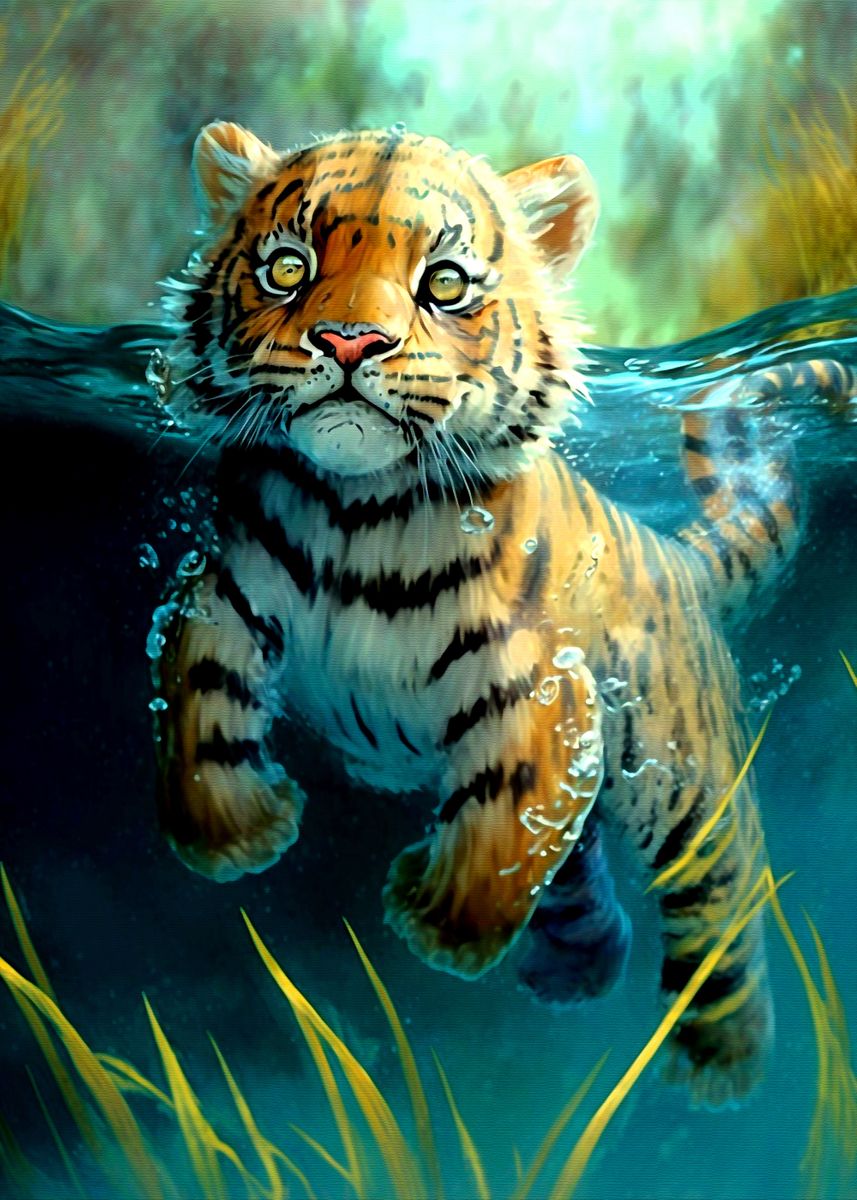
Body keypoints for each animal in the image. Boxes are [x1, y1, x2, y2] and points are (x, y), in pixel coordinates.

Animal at [151, 120, 857, 1110]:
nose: (348, 340)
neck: (355, 518)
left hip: (691, 782)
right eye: (286, 268)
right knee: (575, 859)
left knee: (722, 904)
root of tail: (675, 553)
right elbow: (197, 711)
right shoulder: (220, 594)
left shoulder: (540, 681)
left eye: (443, 283)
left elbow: (503, 817)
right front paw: (236, 832)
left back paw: (720, 1062)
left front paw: (440, 924)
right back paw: (574, 970)